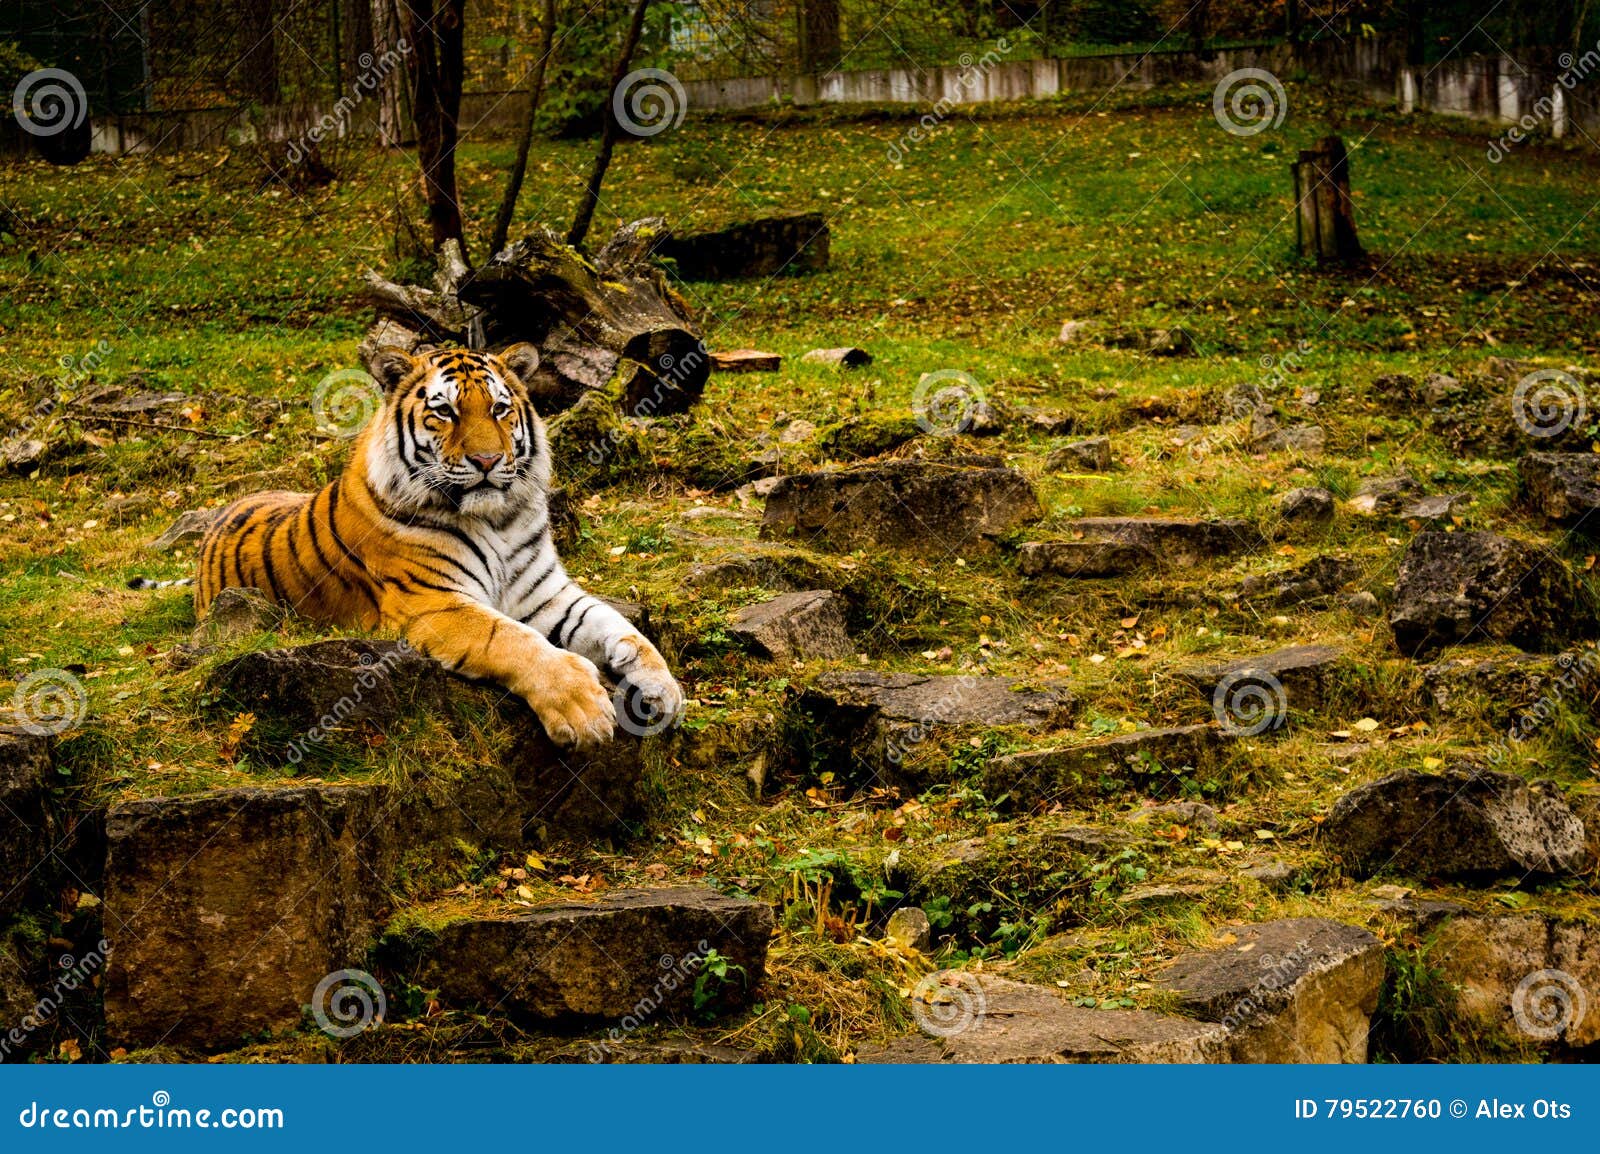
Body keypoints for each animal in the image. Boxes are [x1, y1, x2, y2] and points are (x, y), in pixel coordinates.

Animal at [133, 343, 683, 750]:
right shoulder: (434, 603)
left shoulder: (548, 595)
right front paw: (583, 709)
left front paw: (663, 689)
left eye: (500, 409)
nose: (487, 461)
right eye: (445, 412)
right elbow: (513, 640)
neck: (499, 519)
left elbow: (621, 628)